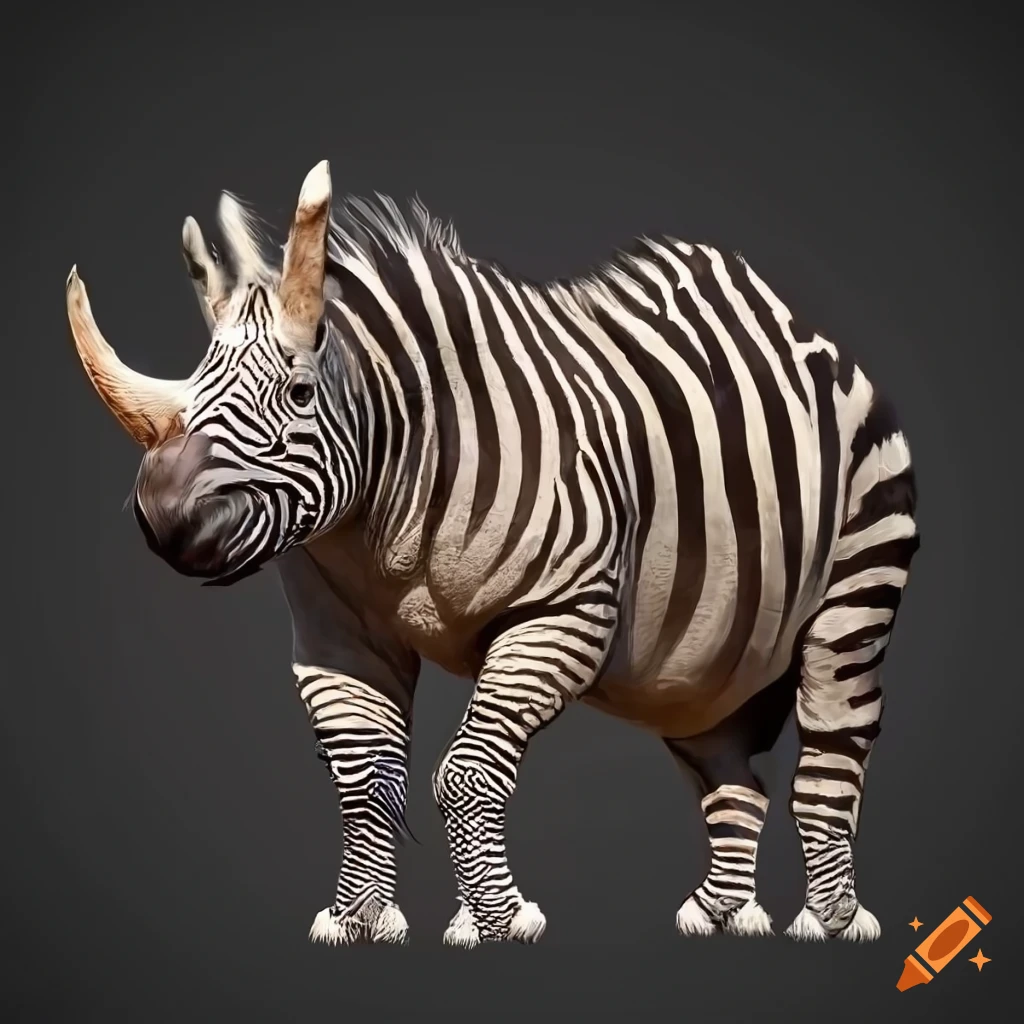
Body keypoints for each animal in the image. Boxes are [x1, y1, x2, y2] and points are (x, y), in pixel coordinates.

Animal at [66, 160, 919, 948]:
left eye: (302, 395)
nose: (165, 521)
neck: (386, 490)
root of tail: (808, 337)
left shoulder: (562, 611)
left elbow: (466, 774)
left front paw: (502, 923)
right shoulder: (338, 635)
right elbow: (363, 779)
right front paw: (359, 921)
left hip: (857, 572)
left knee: (832, 738)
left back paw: (833, 922)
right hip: (704, 661)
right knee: (727, 763)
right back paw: (721, 915)